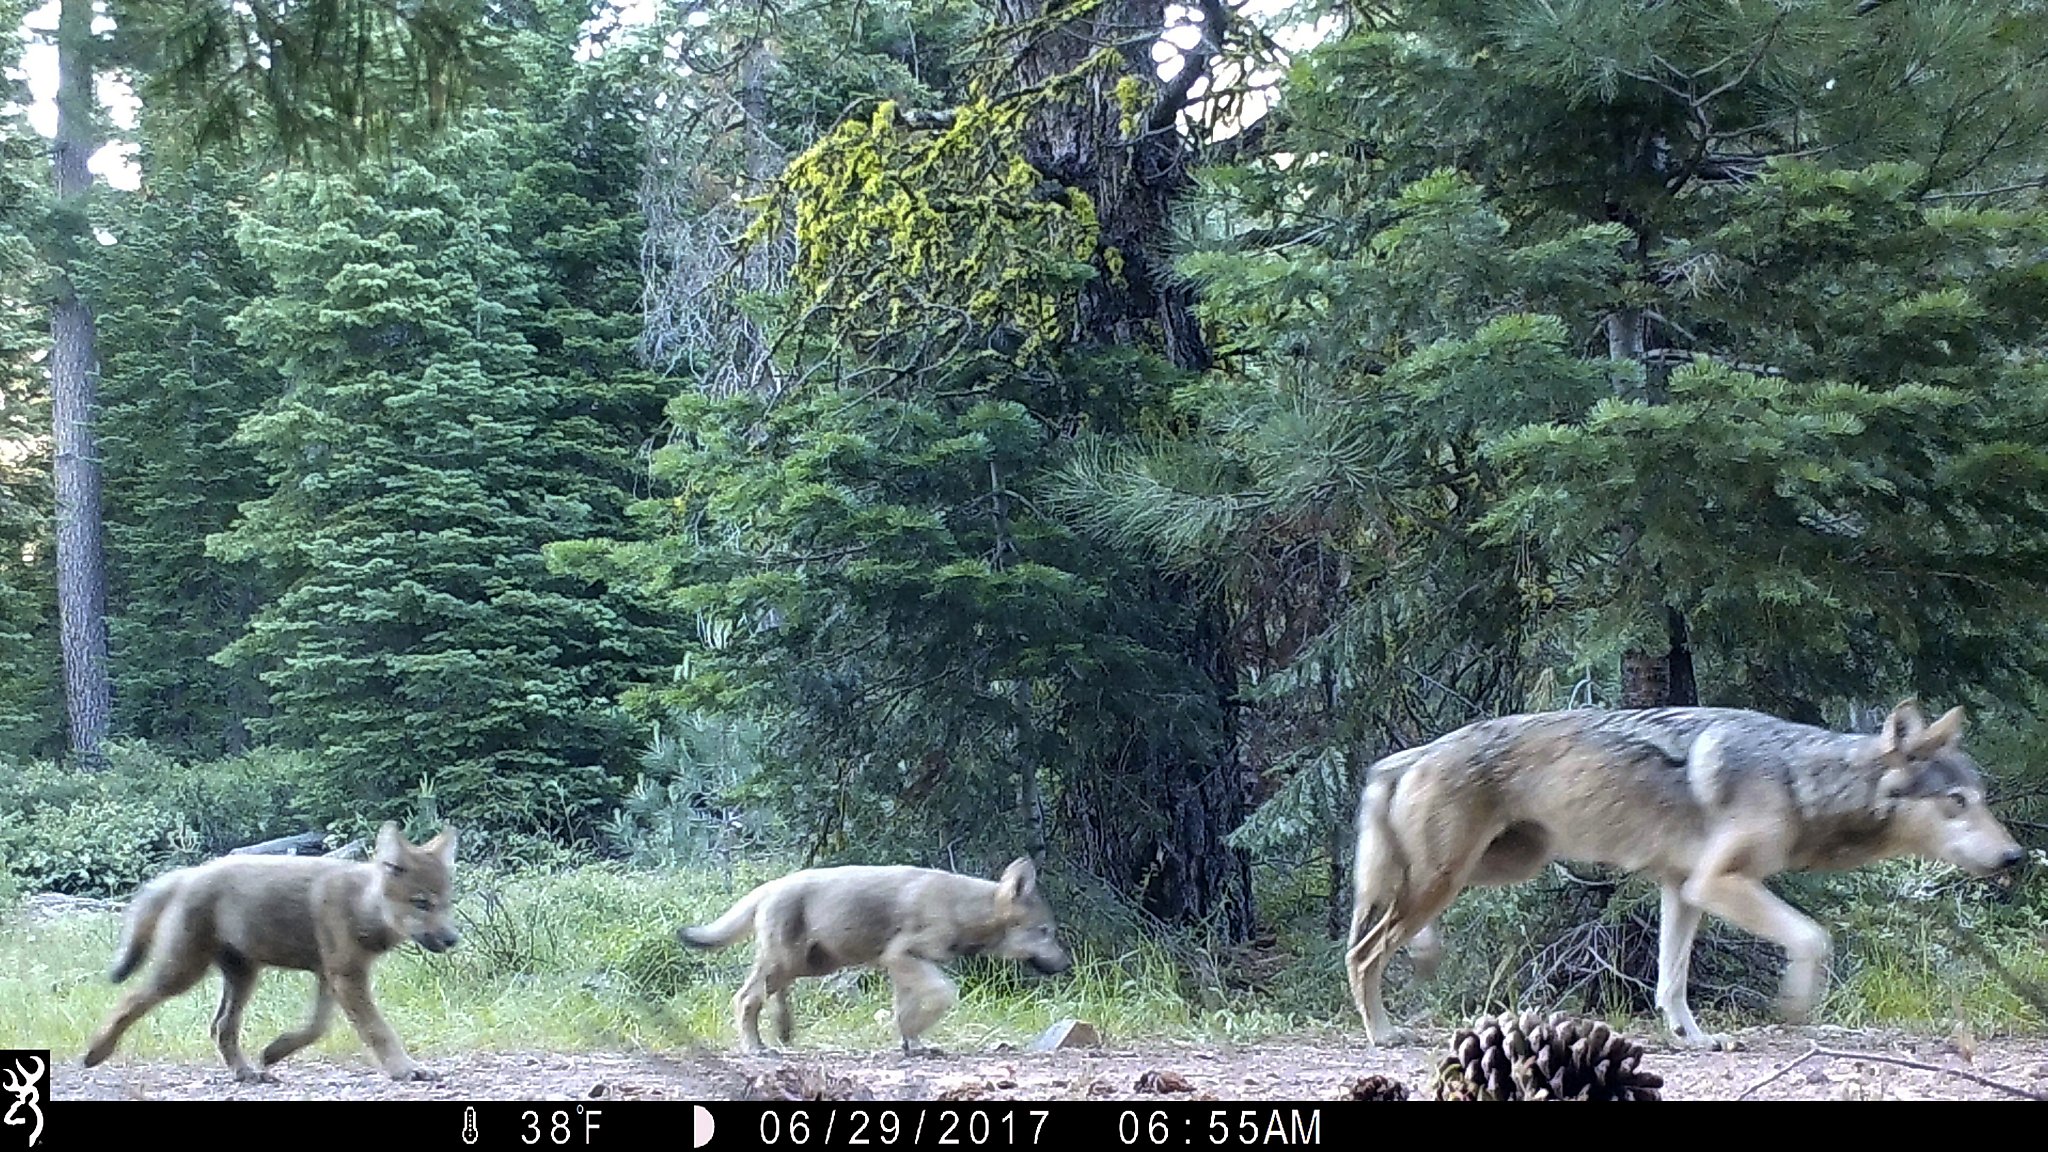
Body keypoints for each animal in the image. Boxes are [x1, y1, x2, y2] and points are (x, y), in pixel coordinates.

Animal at [82, 821, 461, 1083]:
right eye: (421, 903)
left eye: (446, 903)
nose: (453, 939)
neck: (361, 905)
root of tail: (188, 874)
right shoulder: (346, 976)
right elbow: (378, 1030)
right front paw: (406, 1069)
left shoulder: (330, 976)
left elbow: (316, 1028)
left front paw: (275, 1051)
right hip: (183, 973)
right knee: (130, 1000)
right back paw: (95, 1053)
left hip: (243, 976)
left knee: (220, 1027)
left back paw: (248, 1073)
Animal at [679, 856, 1072, 1055]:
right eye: (1046, 932)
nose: (1067, 964)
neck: (964, 909)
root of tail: (769, 885)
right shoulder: (901, 956)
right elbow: (943, 994)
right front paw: (914, 1038)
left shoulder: (901, 966)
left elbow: (905, 1012)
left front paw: (913, 1044)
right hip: (789, 963)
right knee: (746, 998)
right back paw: (755, 1048)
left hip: (807, 965)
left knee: (769, 996)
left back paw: (781, 1033)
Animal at [1345, 700, 2028, 1051]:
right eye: (1957, 802)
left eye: (1982, 799)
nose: (2017, 857)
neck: (1801, 782)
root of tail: (1409, 754)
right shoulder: (1716, 883)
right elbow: (1813, 937)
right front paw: (1794, 1005)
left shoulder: (1682, 888)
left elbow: (1670, 982)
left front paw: (1691, 1039)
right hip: (1450, 876)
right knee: (1363, 952)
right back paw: (1382, 1032)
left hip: (1500, 867)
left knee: (1392, 930)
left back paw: (1424, 956)